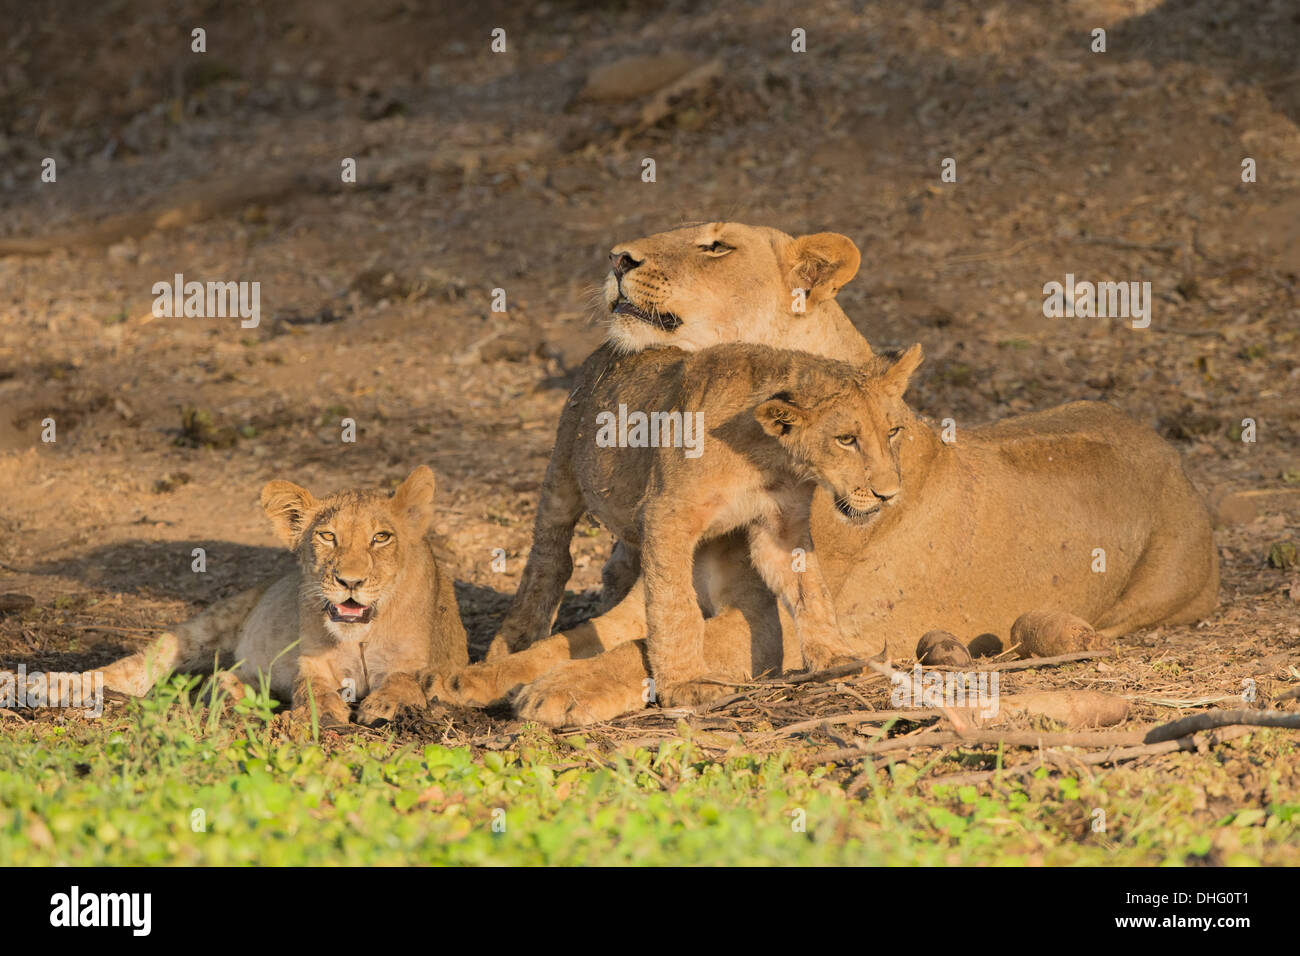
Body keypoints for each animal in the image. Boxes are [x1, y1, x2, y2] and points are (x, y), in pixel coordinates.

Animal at [88, 466, 467, 727]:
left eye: (381, 537)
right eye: (327, 536)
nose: (350, 581)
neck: (359, 636)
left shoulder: (424, 664)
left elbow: (405, 680)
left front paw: (386, 704)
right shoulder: (310, 662)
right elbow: (310, 686)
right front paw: (322, 712)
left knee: (219, 677)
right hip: (210, 625)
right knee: (141, 666)